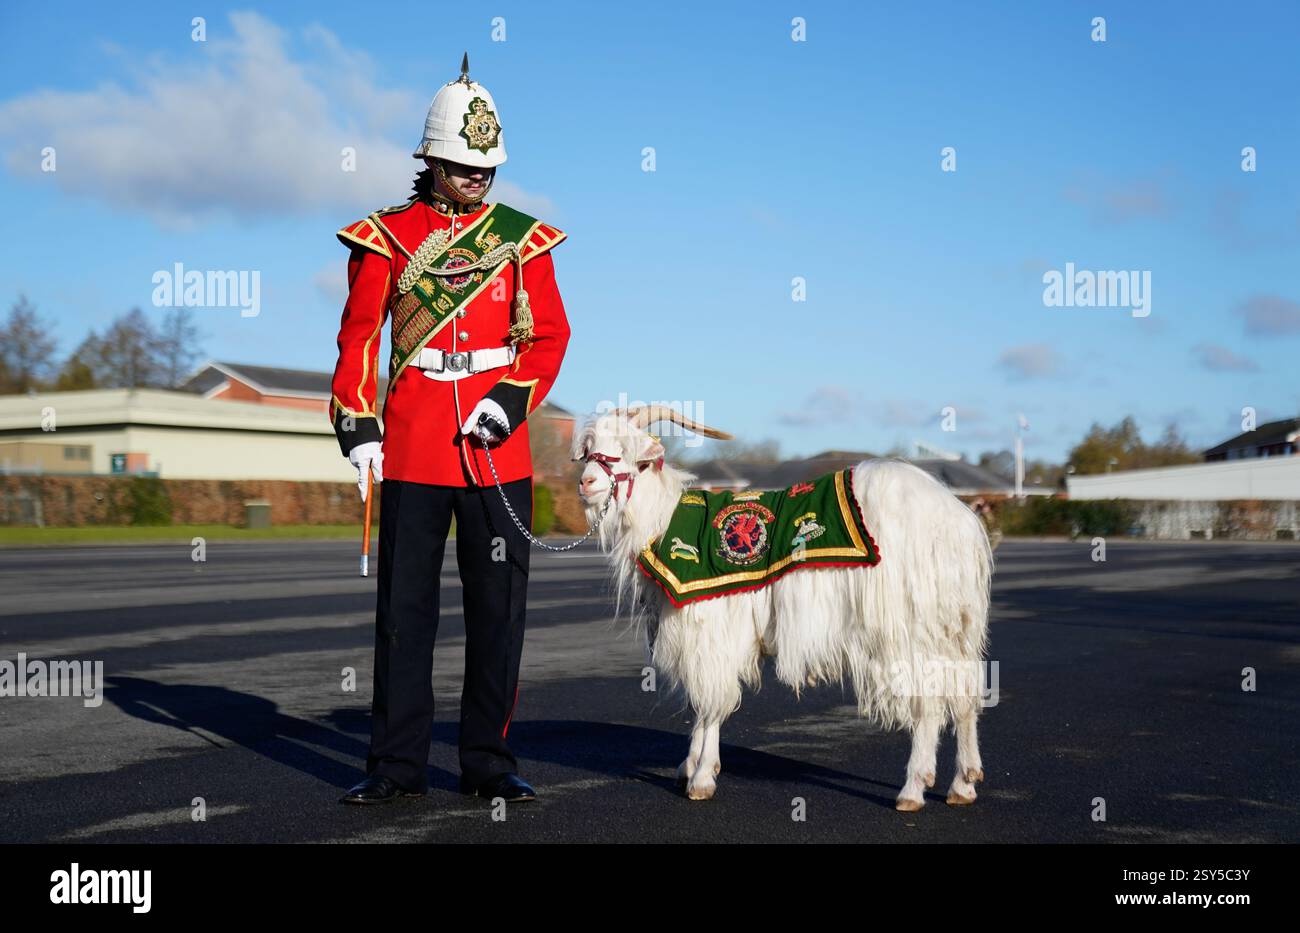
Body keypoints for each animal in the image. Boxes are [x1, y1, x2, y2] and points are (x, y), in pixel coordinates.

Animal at [571, 404, 995, 810]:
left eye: (630, 453)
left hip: (908, 626)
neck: (664, 520)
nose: (586, 482)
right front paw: (689, 766)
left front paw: (702, 777)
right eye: (590, 450)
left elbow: (711, 703)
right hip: (954, 627)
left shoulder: (713, 629)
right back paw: (964, 783)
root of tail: (959, 524)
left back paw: (913, 788)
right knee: (964, 693)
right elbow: (703, 704)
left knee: (929, 699)